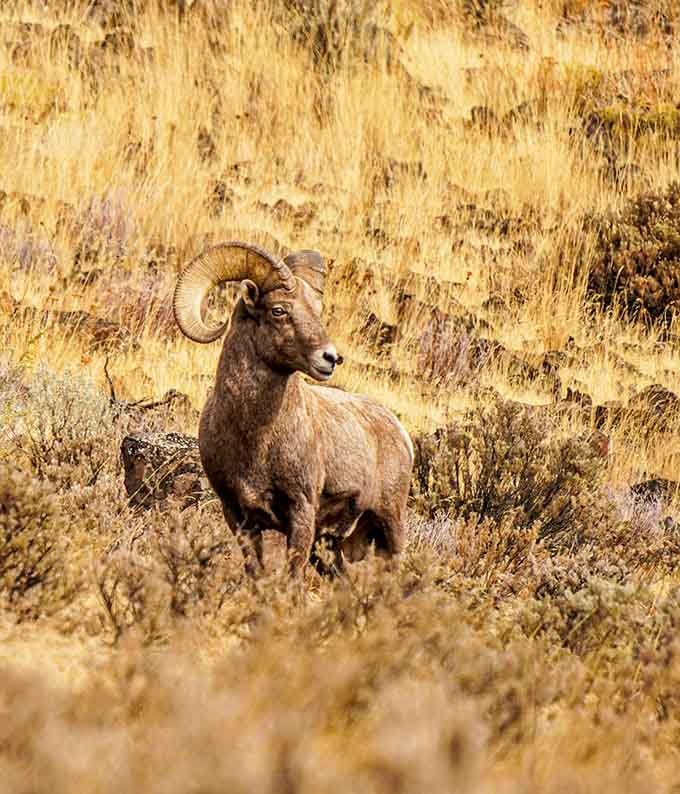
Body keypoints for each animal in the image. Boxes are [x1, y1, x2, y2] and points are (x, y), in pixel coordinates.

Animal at [173, 241, 413, 576]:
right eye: (279, 310)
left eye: (317, 310)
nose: (330, 358)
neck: (256, 439)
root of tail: (400, 432)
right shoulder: (238, 516)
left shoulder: (301, 513)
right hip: (330, 546)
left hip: (390, 524)